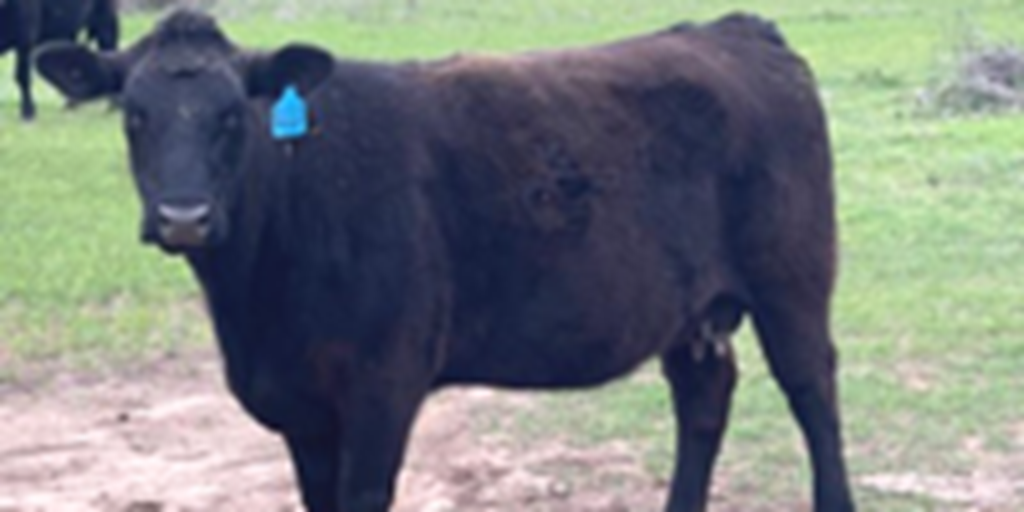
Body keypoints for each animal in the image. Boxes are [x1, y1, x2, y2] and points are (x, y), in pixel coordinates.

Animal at [36, 9, 856, 512]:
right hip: (689, 309)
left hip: (793, 278)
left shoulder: (382, 384)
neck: (257, 310)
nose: (185, 217)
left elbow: (363, 496)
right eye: (133, 115)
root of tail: (735, 31)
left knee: (811, 389)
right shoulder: (301, 406)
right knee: (704, 395)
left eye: (234, 114)